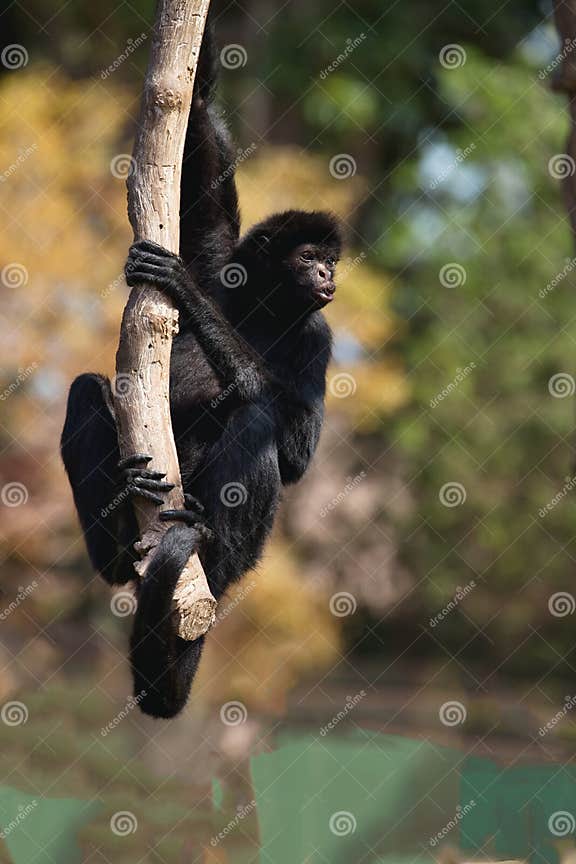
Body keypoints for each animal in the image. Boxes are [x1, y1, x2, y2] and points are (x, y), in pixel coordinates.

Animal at [61, 21, 343, 718]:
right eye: (310, 257)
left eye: (327, 261)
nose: (329, 275)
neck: (264, 309)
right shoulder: (223, 263)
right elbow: (201, 157)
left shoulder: (319, 336)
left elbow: (295, 452)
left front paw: (182, 290)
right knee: (85, 389)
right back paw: (120, 532)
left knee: (256, 419)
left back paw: (209, 544)